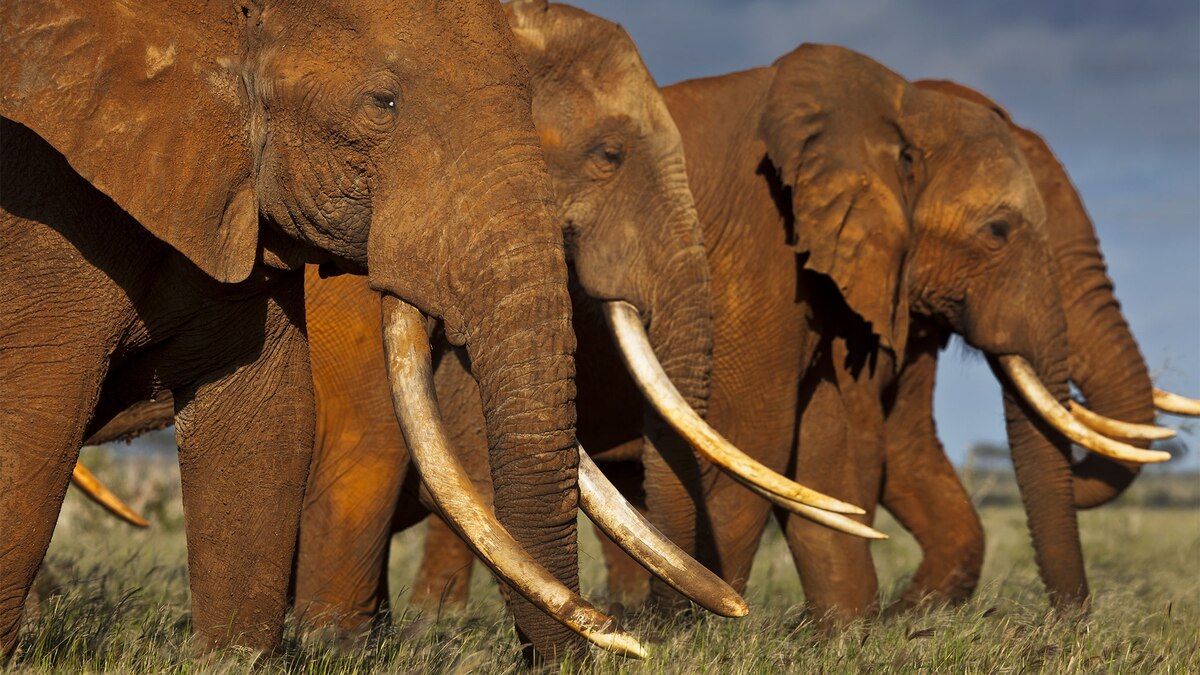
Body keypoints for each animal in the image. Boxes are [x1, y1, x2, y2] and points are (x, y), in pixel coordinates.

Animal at [0, 0, 637, 661]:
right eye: (382, 102)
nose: (586, 651)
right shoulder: (46, 202)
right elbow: (36, 416)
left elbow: (262, 421)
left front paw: (235, 660)